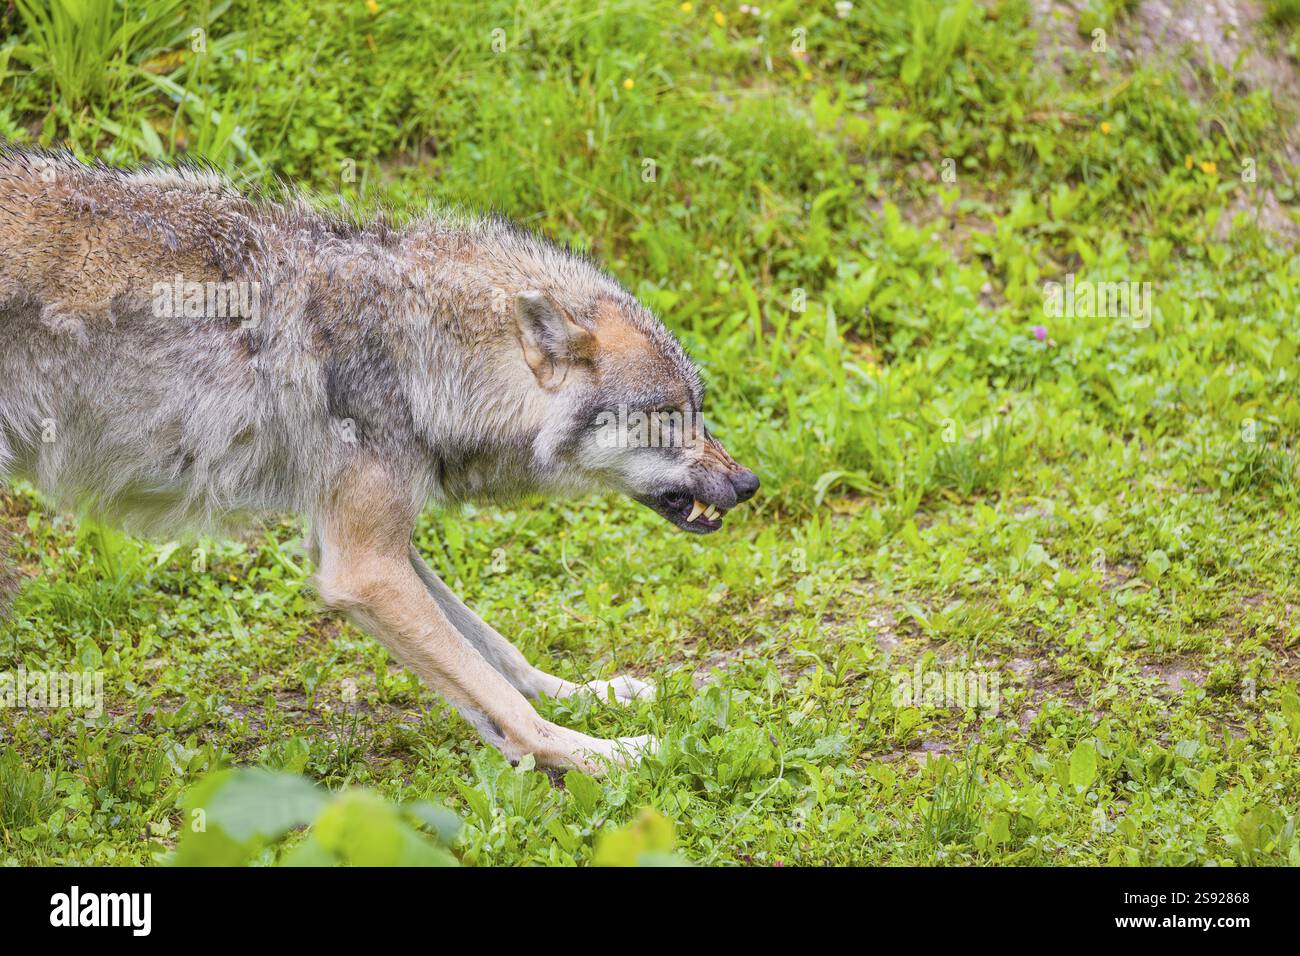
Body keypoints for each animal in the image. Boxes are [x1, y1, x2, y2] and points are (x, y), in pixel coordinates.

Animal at [0, 145, 758, 772]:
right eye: (667, 416)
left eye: (698, 407)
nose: (749, 483)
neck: (420, 349)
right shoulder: (364, 569)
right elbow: (501, 695)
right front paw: (598, 753)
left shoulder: (362, 545)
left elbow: (497, 654)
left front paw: (590, 694)